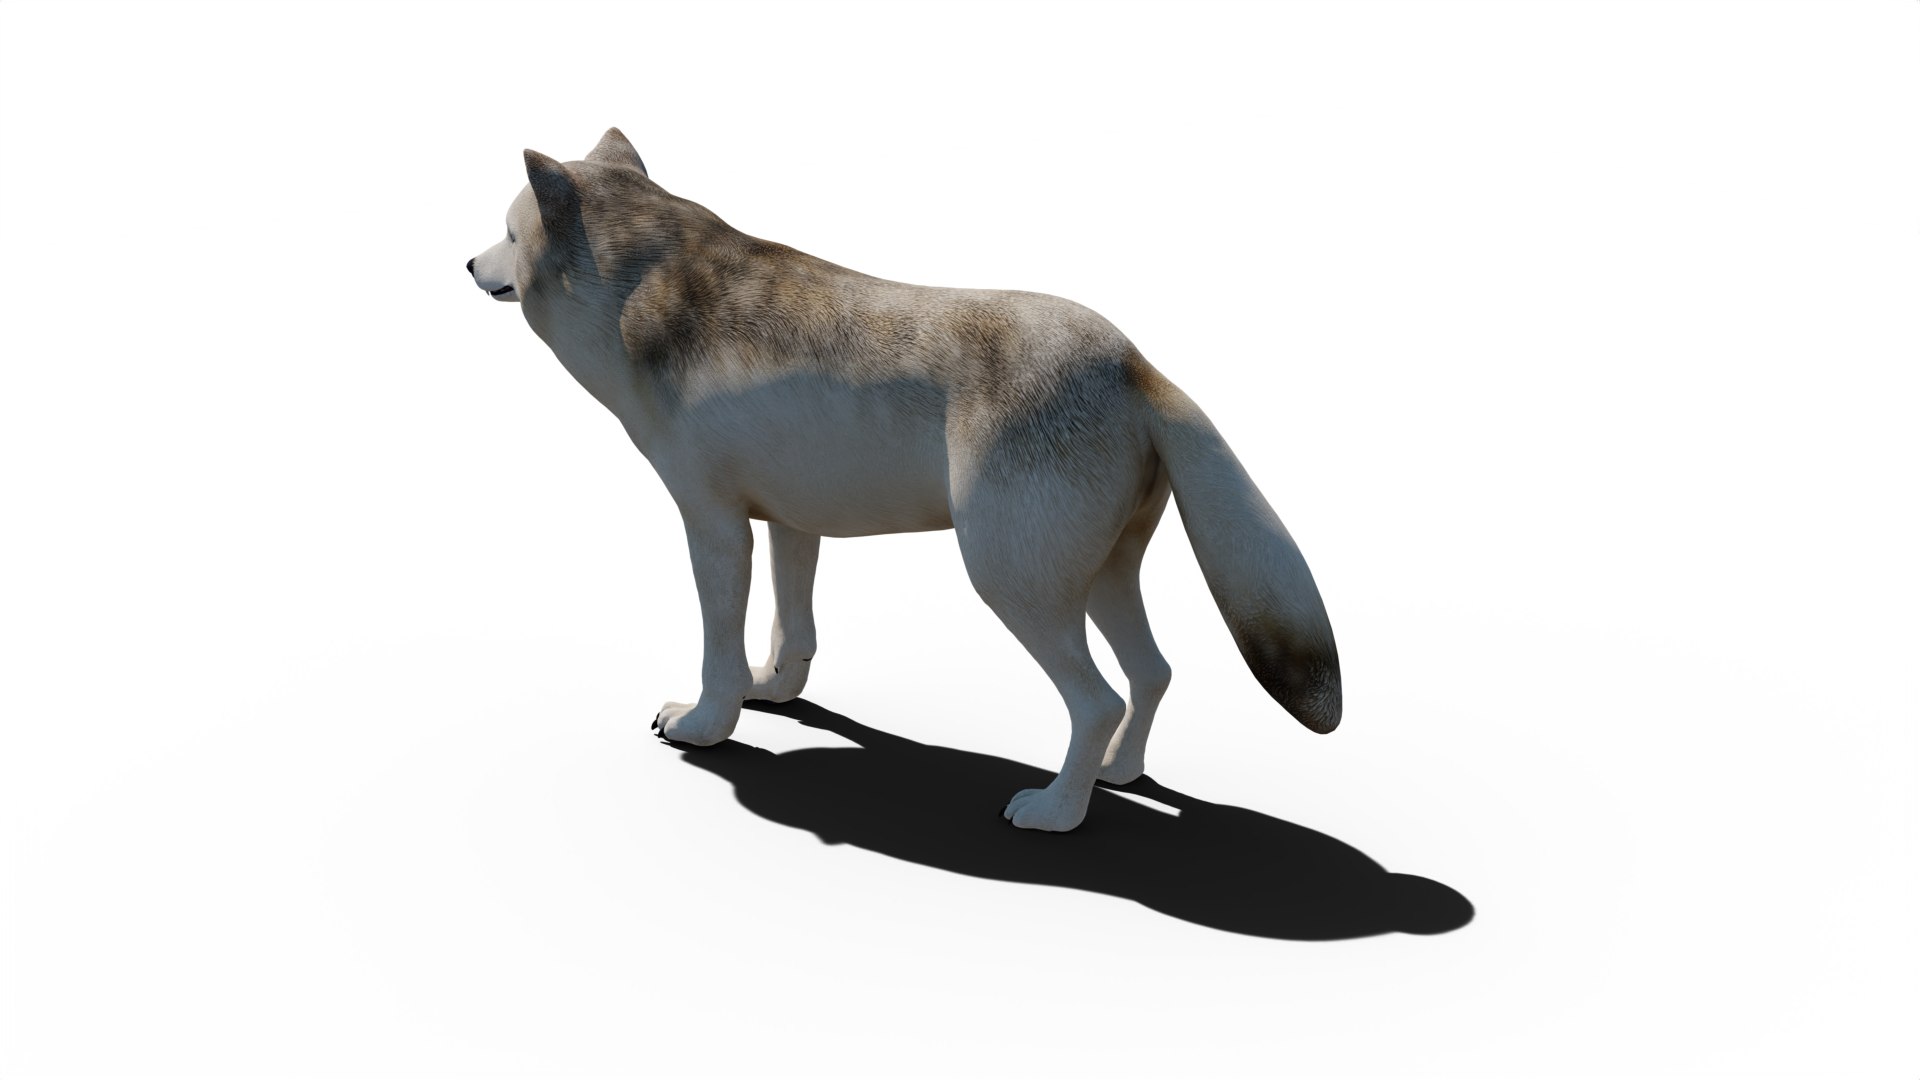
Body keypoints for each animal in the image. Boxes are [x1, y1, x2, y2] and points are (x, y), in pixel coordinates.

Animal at [468, 128, 1341, 832]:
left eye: (506, 232)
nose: (468, 262)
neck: (644, 290)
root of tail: (1134, 364)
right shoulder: (791, 523)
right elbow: (793, 633)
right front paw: (774, 693)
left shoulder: (714, 528)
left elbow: (720, 650)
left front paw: (707, 724)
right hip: (1097, 582)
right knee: (1153, 673)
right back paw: (1117, 775)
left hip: (1013, 586)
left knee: (1101, 699)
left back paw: (1058, 811)